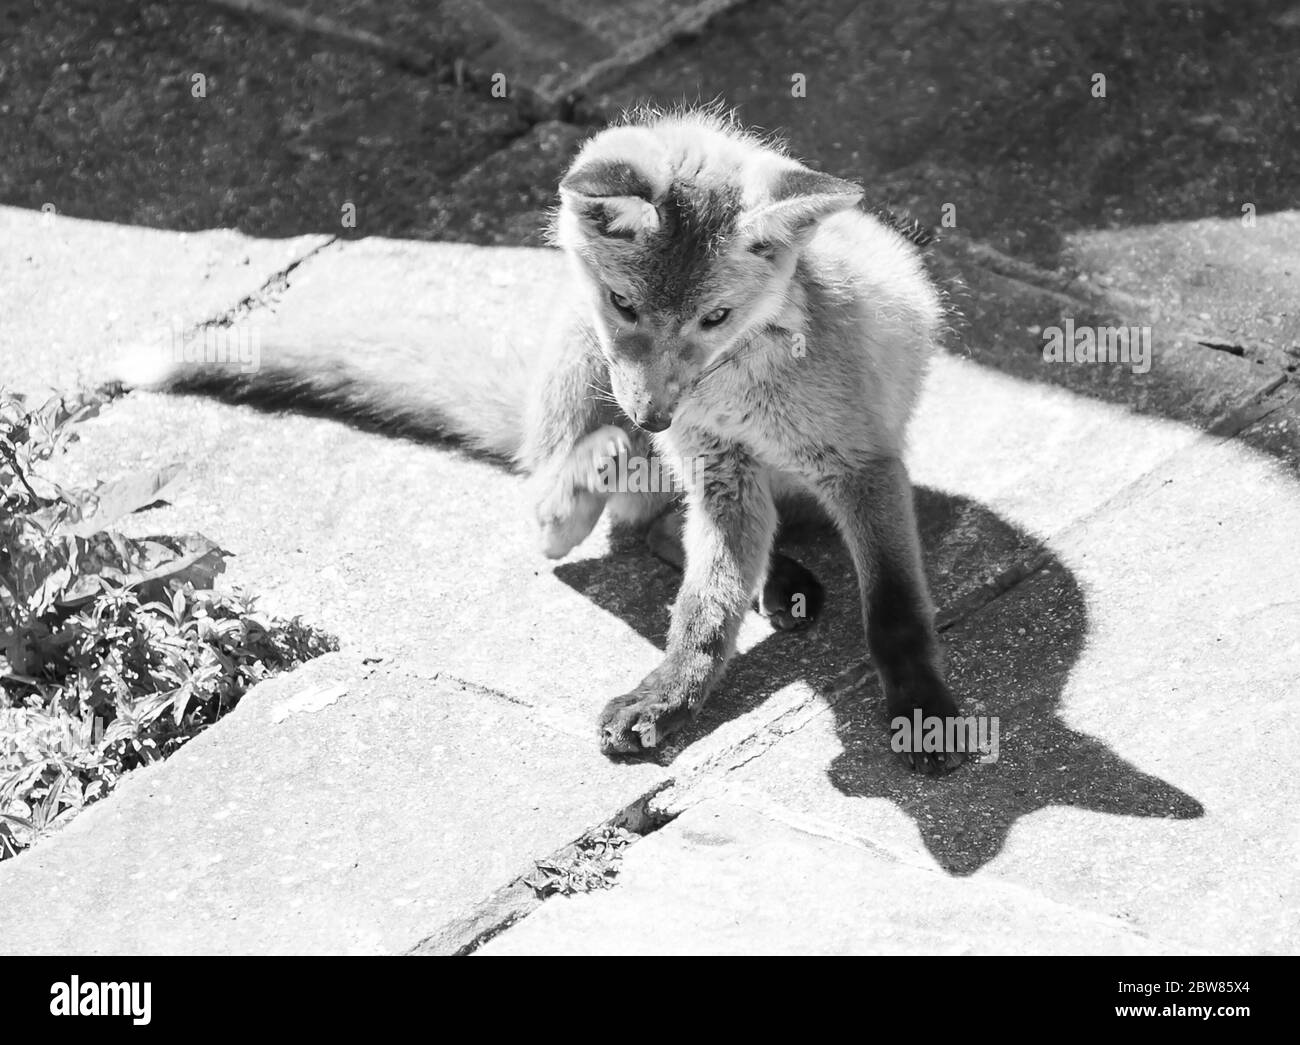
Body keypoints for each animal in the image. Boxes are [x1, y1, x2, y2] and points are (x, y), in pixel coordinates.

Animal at [120, 107, 964, 773]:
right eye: (624, 302)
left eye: (715, 318)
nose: (654, 418)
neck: (743, 395)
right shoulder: (717, 466)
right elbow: (702, 614)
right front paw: (671, 694)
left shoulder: (857, 465)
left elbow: (892, 610)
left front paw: (920, 705)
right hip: (581, 357)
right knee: (571, 512)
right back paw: (586, 485)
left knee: (660, 527)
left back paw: (765, 571)